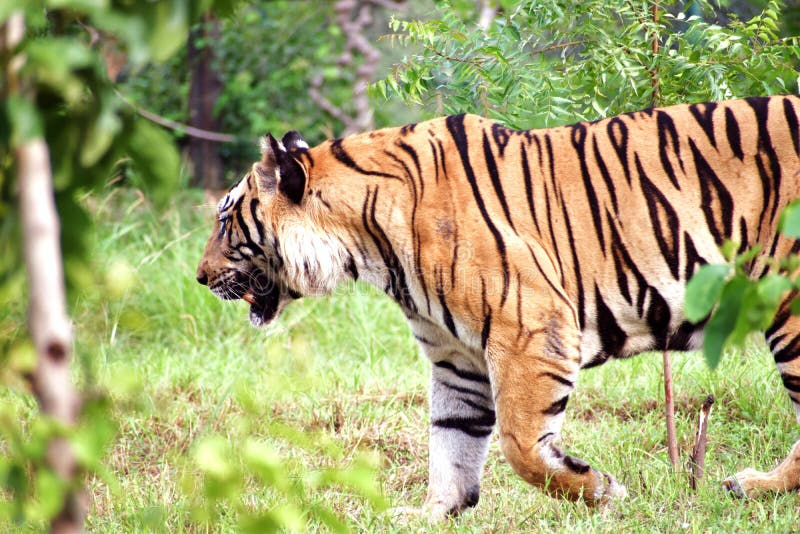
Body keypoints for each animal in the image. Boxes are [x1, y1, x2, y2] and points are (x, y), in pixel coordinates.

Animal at [196, 96, 800, 520]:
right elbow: (452, 439)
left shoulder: (531, 328)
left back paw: (754, 486)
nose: (200, 278)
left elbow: (519, 446)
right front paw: (431, 514)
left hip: (789, 311)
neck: (368, 242)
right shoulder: (455, 356)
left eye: (225, 220)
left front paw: (600, 491)